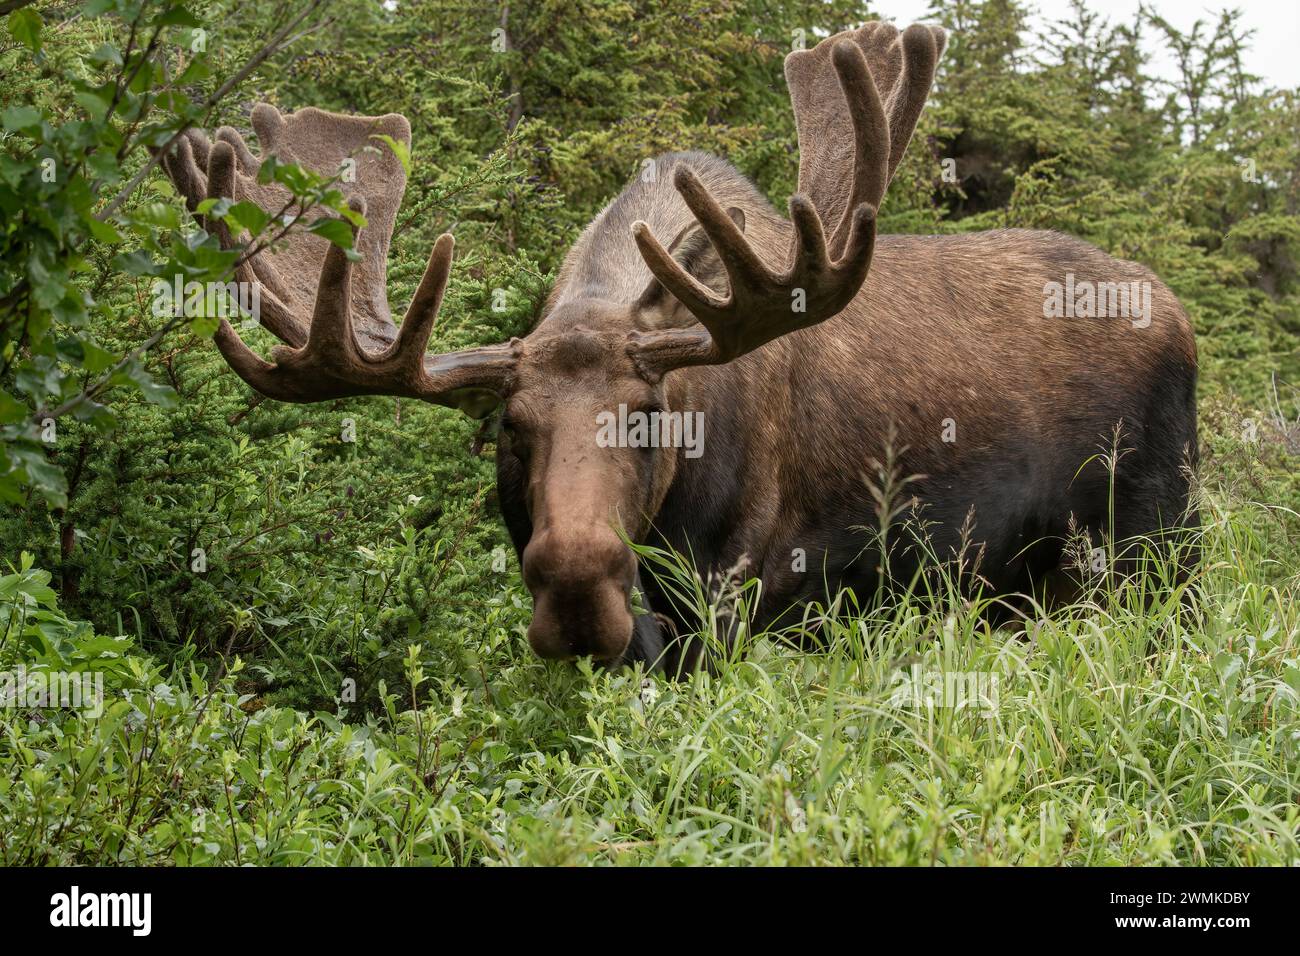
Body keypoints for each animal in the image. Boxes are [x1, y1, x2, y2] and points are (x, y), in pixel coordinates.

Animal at [159, 21, 1199, 675]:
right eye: (509, 429)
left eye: (651, 417)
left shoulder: (736, 593)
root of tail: (1179, 312)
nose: (581, 590)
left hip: (1158, 547)